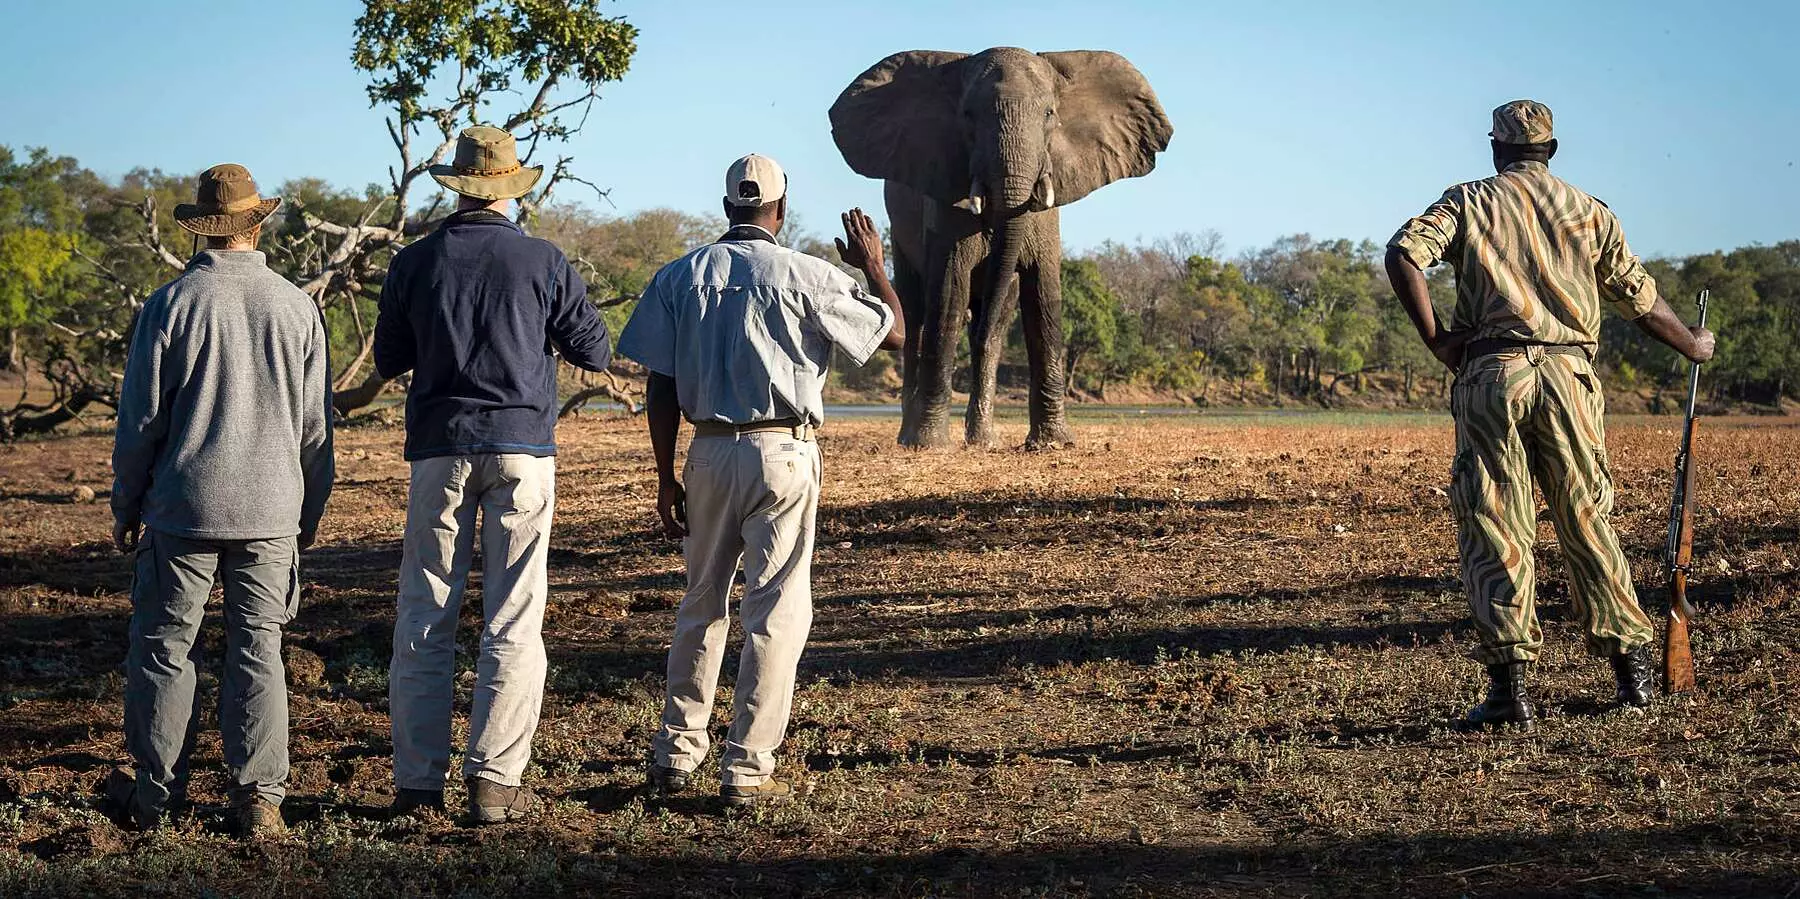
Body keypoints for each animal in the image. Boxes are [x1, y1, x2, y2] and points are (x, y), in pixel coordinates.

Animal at [824, 47, 1173, 448]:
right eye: (968, 115)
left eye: (1050, 114)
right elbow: (949, 294)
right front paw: (931, 444)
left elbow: (1043, 296)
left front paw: (1053, 443)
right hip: (899, 231)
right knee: (916, 313)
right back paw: (911, 435)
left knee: (995, 322)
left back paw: (982, 439)